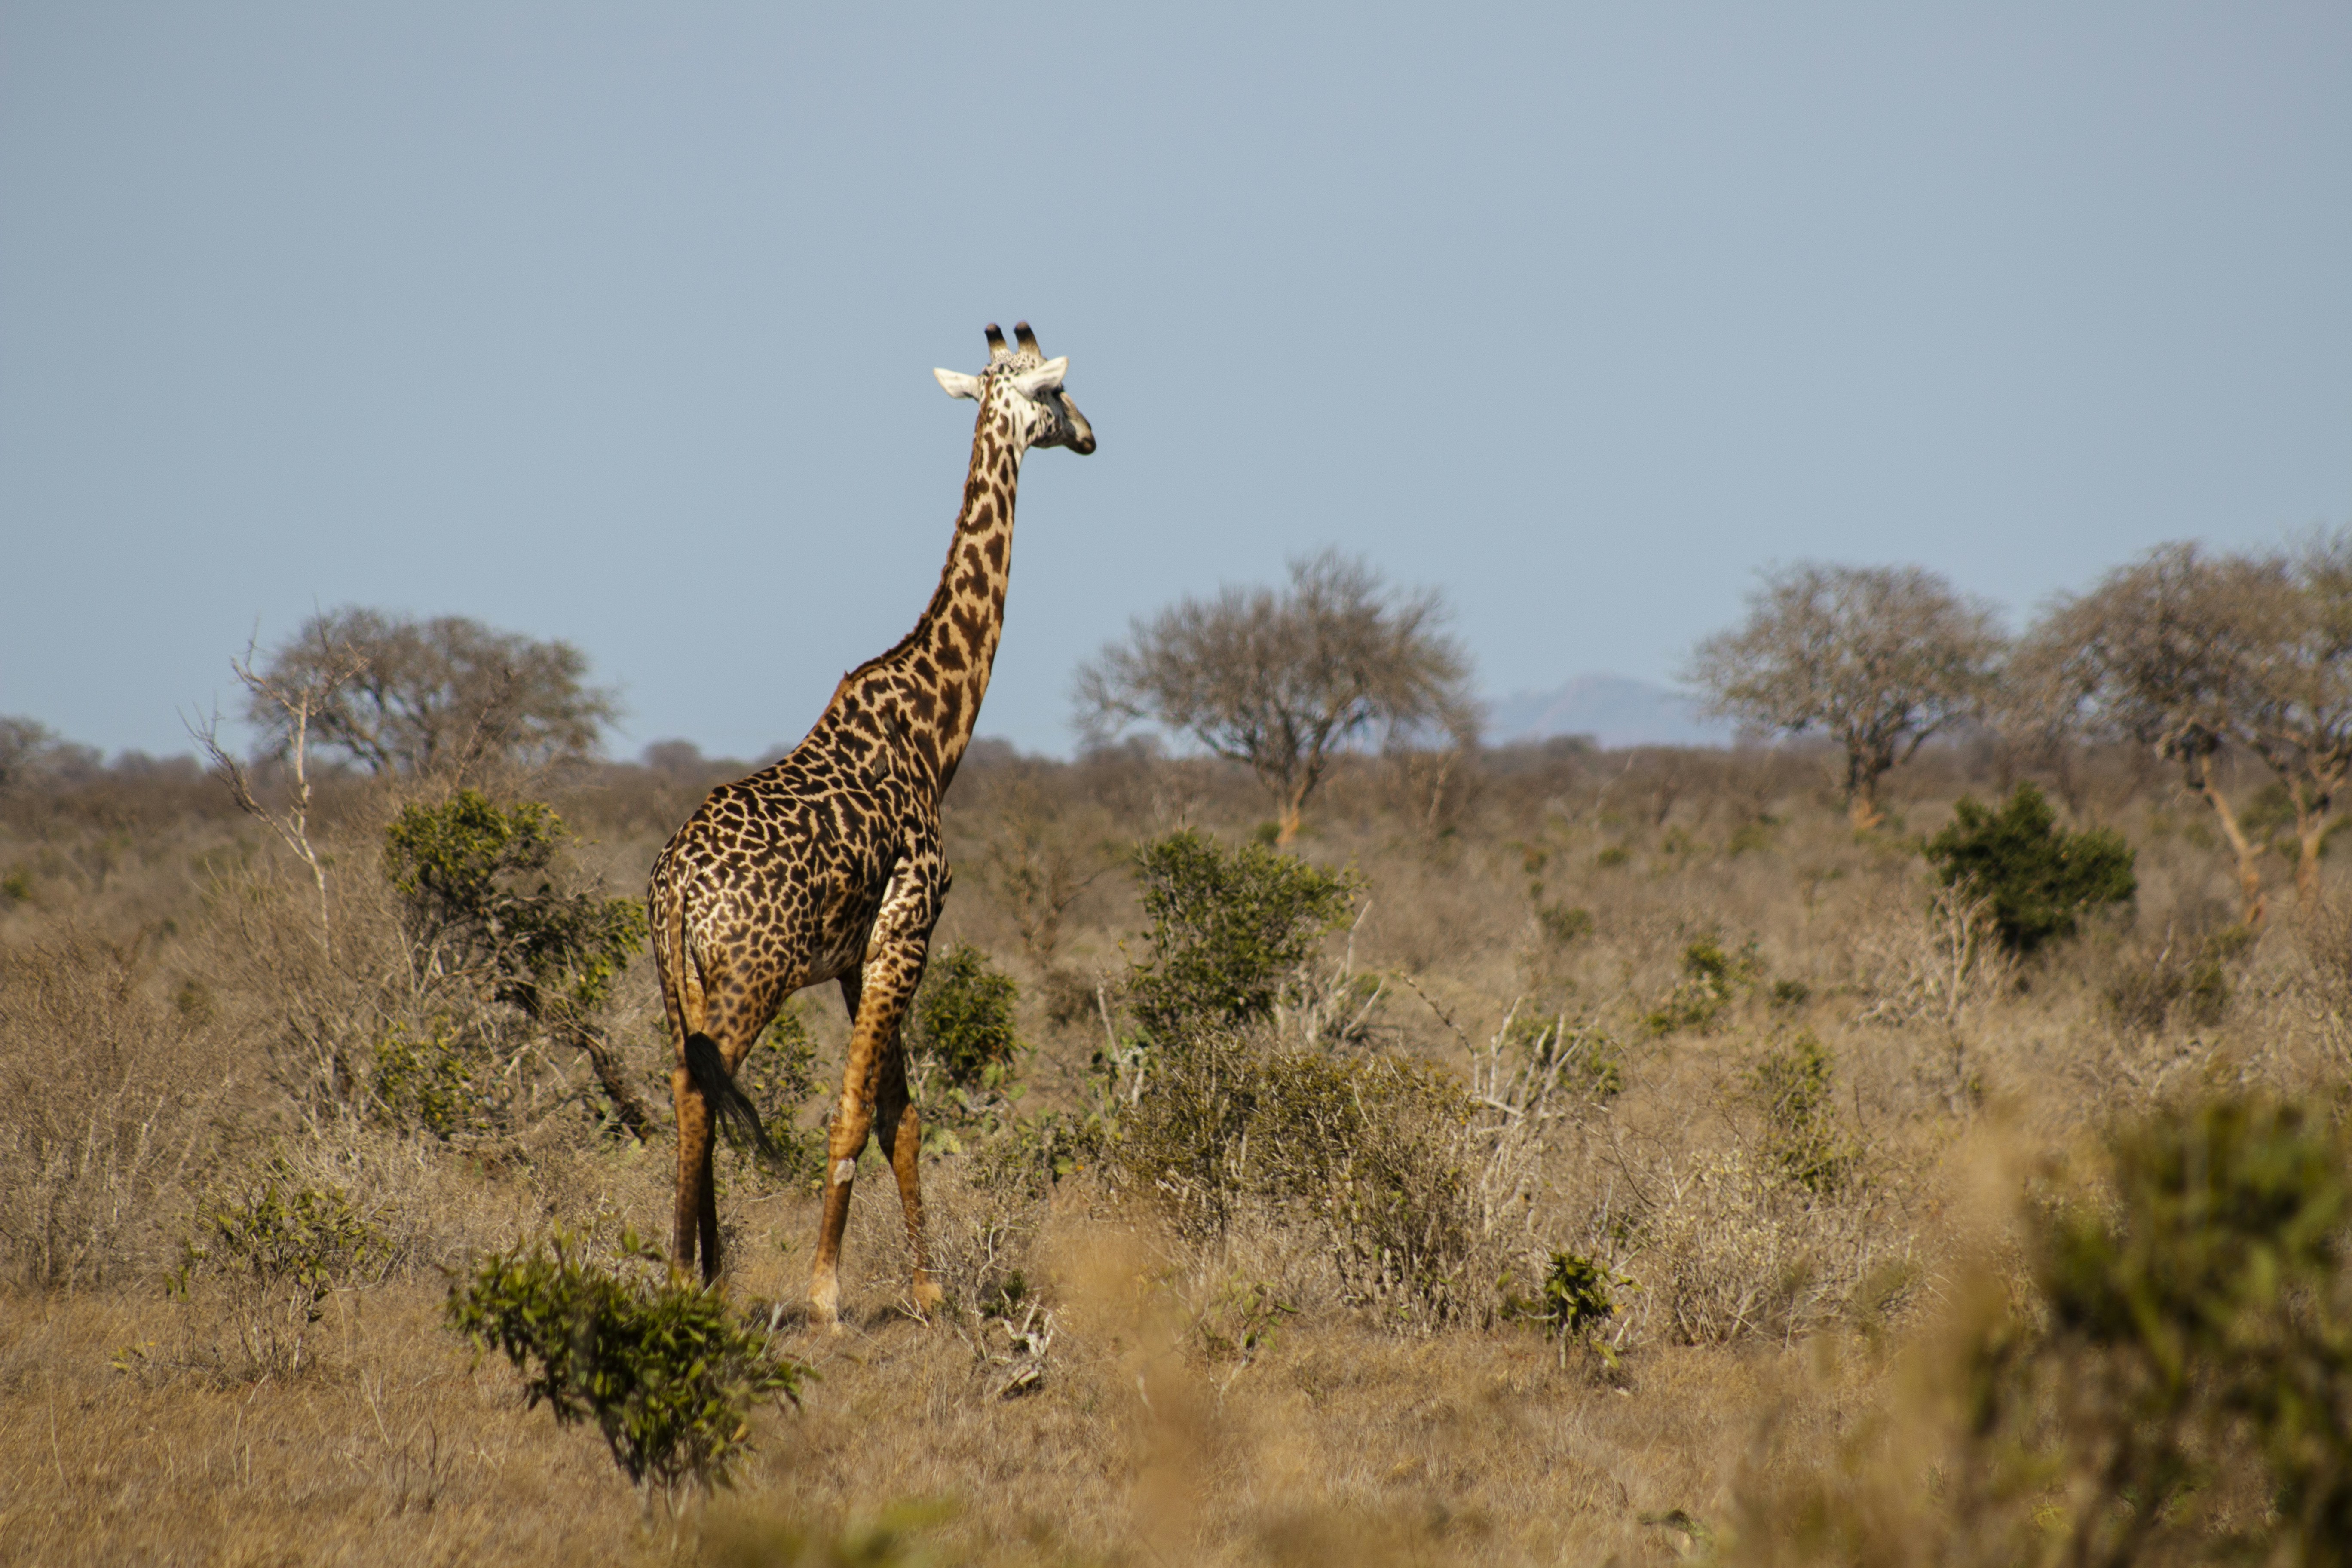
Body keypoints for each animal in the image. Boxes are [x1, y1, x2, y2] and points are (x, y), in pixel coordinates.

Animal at [647, 322, 1093, 1327]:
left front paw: (927, 1287)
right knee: (699, 1089)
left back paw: (708, 1274)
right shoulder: (908, 927)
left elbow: (903, 1115)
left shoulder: (860, 953)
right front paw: (826, 1293)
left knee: (689, 1085)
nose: (1093, 435)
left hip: (678, 980)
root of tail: (677, 884)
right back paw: (686, 1284)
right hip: (753, 976)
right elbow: (854, 1111)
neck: (932, 730)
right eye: (1054, 394)